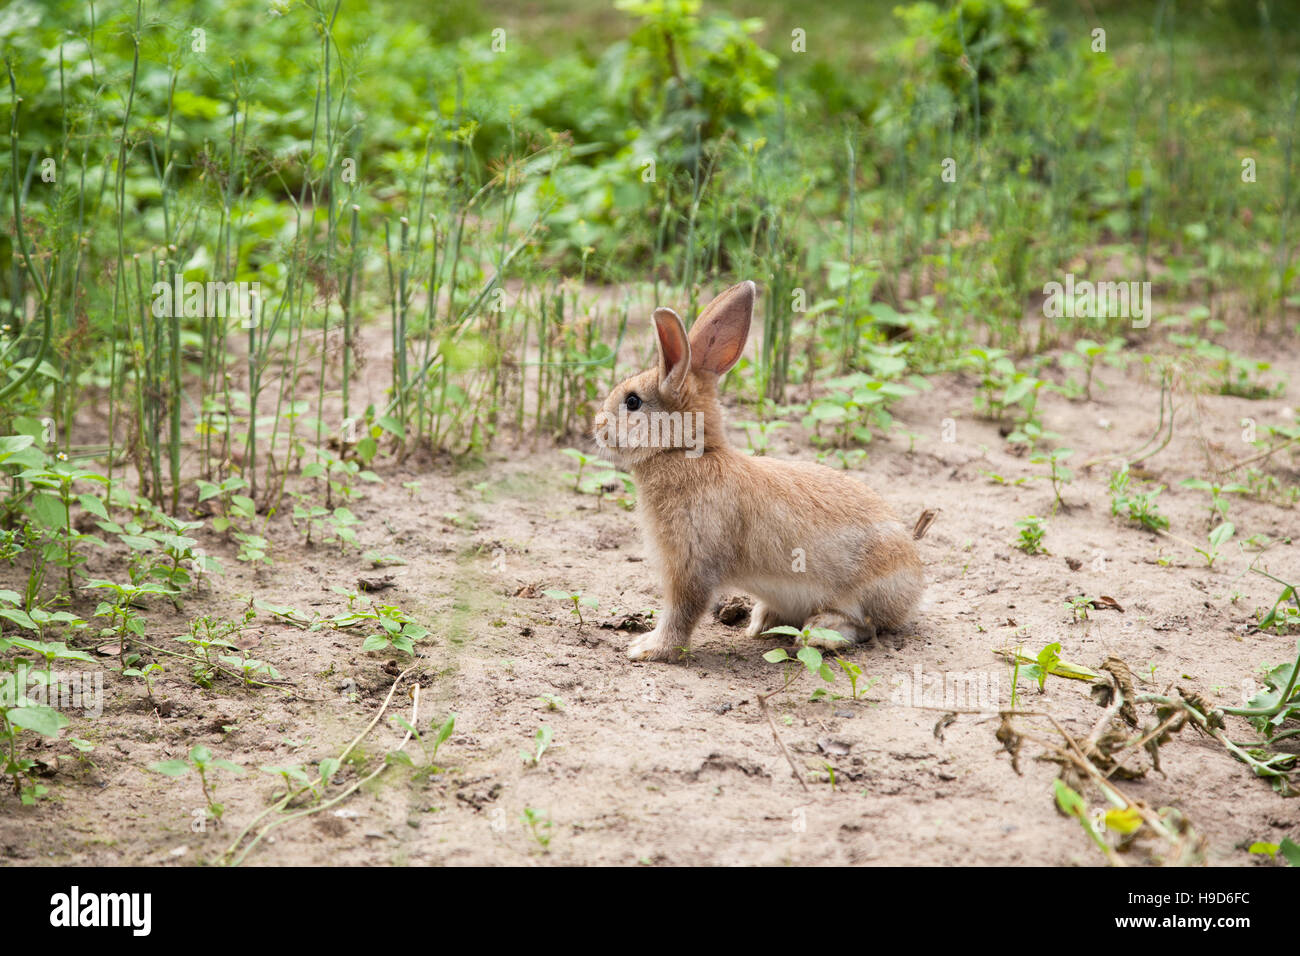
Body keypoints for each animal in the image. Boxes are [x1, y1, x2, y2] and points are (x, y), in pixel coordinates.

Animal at [592, 280, 924, 662]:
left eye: (632, 401)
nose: (597, 426)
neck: (686, 453)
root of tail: (915, 589)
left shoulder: (692, 563)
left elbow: (682, 611)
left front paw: (648, 649)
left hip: (863, 592)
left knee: (864, 627)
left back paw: (818, 633)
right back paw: (761, 622)